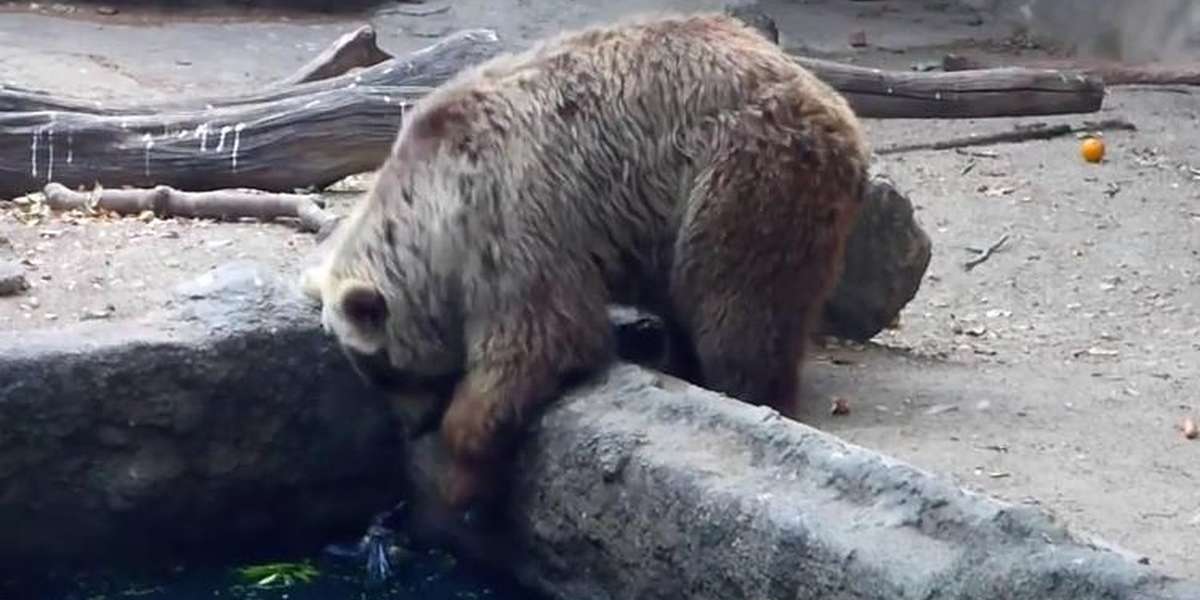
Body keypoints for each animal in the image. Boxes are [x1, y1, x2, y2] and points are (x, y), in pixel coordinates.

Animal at [302, 11, 871, 513]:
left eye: (383, 371)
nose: (409, 426)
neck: (438, 209)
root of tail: (834, 105)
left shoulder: (517, 212)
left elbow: (541, 336)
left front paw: (459, 476)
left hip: (743, 176)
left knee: (738, 307)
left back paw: (741, 390)